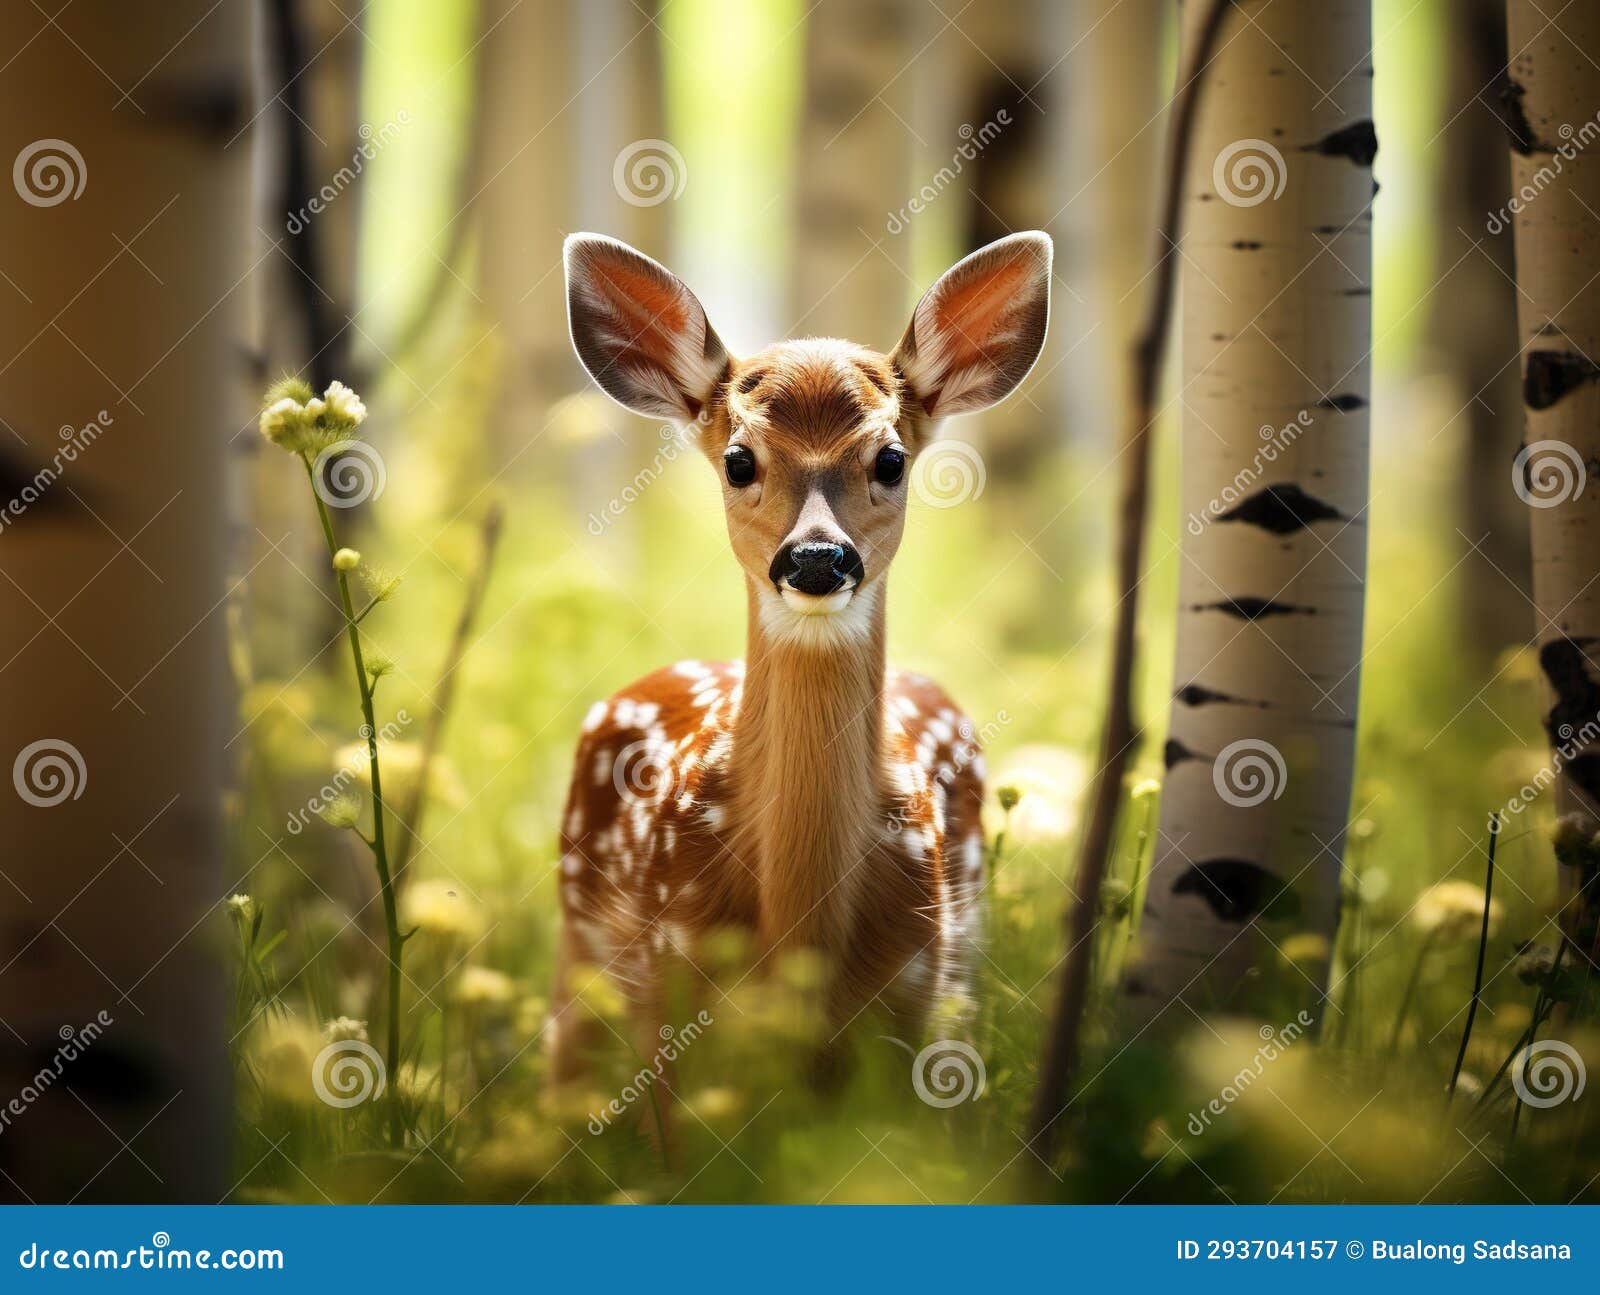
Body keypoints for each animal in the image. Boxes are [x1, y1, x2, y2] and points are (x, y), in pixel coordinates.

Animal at [549, 230, 1052, 1088]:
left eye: (891, 460)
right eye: (739, 460)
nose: (817, 557)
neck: (798, 932)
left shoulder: (915, 995)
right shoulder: (667, 988)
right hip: (577, 950)